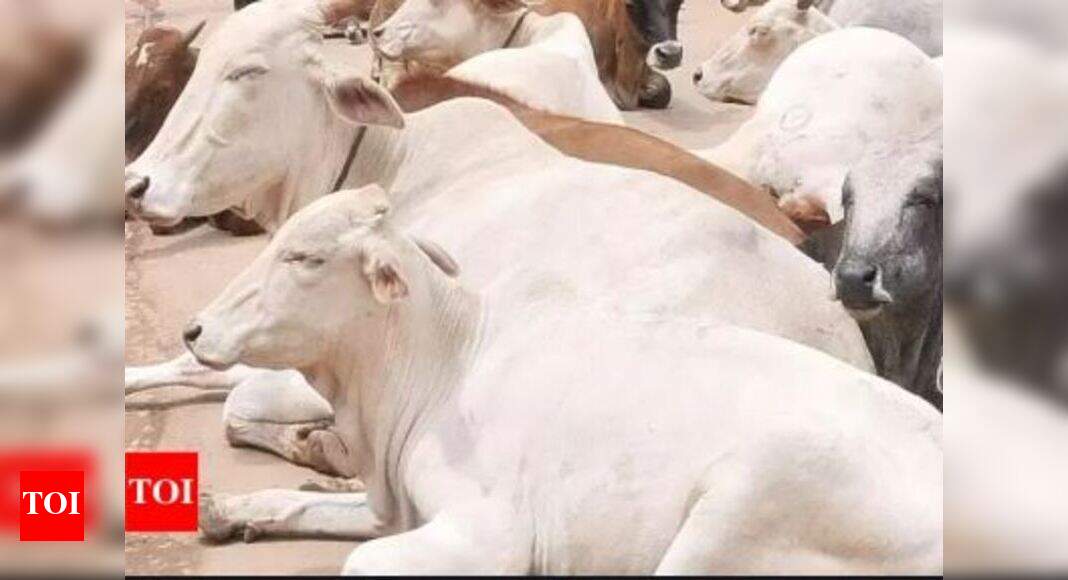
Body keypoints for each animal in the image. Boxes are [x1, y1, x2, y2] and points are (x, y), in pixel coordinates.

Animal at [124, 0, 872, 475]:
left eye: (248, 71)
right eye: (199, 68)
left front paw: (319, 443)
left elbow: (238, 397)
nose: (137, 184)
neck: (386, 162)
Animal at [188, 185, 943, 575]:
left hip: (750, 494)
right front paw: (232, 511)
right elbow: (297, 501)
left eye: (304, 258)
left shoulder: (493, 533)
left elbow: (363, 563)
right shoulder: (392, 506)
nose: (193, 331)